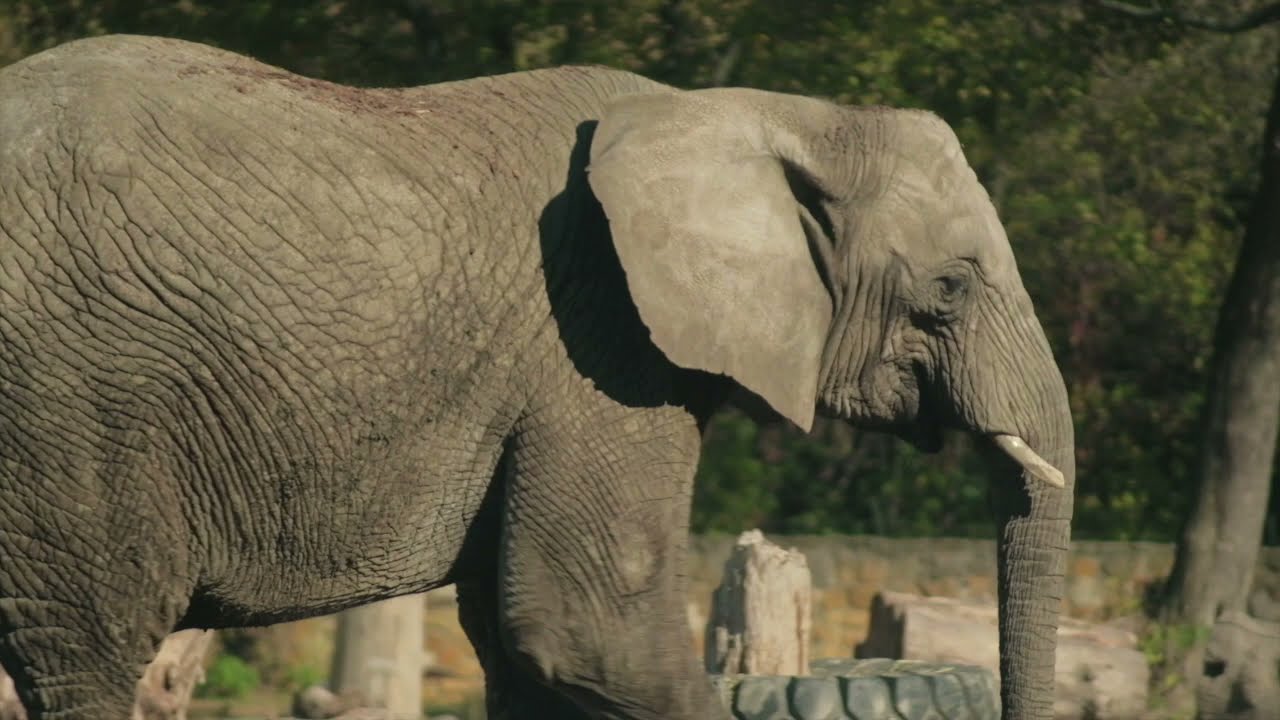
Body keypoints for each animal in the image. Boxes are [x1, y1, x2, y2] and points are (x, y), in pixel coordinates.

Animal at [0, 34, 1074, 720]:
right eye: (949, 287)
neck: (758, 116)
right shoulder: (595, 344)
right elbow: (589, 629)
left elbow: (519, 646)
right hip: (72, 397)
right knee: (92, 650)